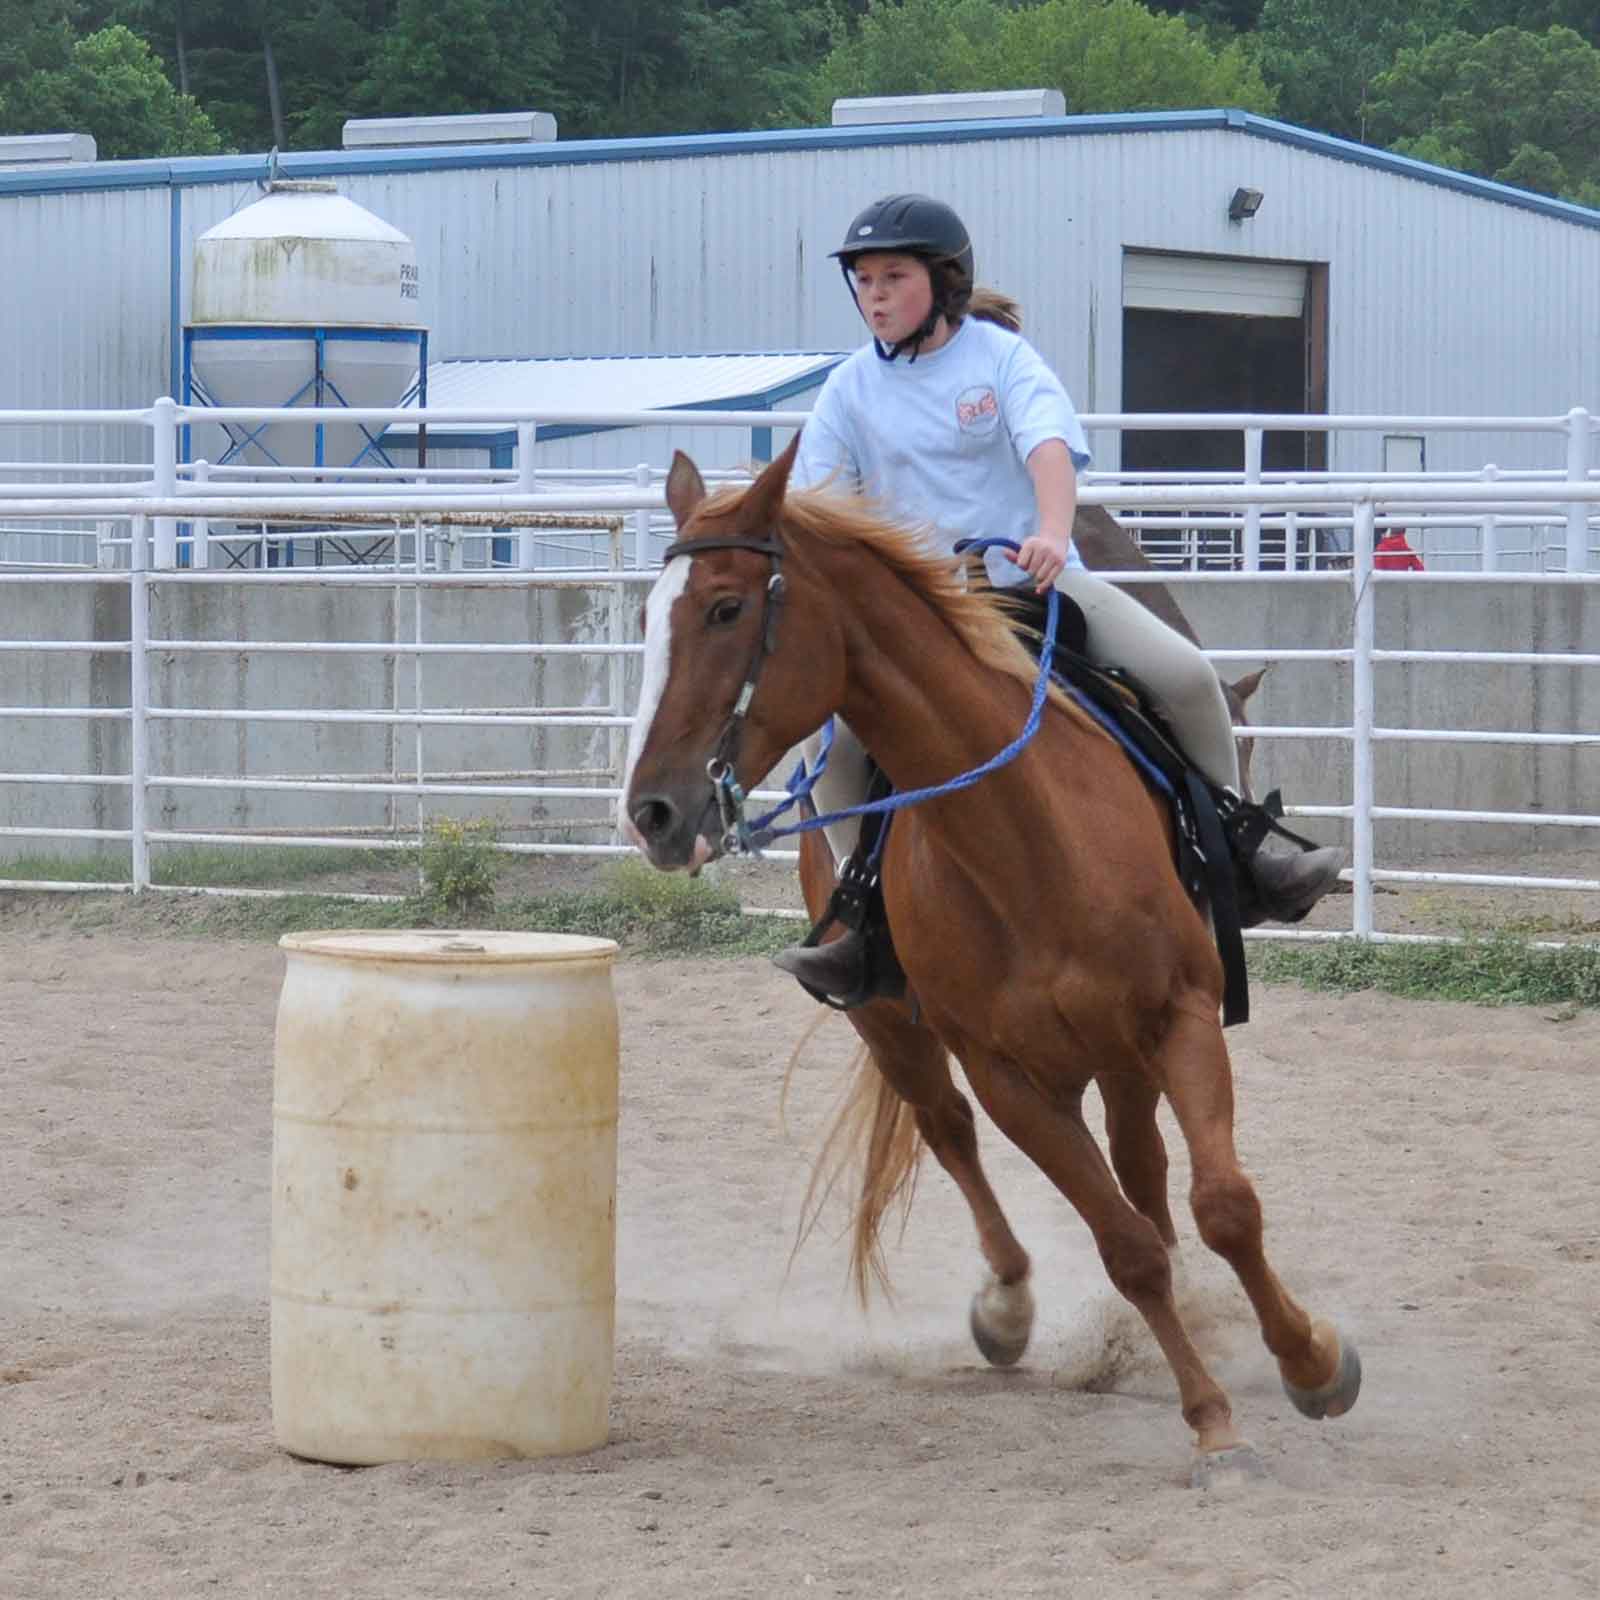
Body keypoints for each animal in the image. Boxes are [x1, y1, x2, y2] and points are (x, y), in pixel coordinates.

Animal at [619, 439, 1362, 1485]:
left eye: (726, 608)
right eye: (652, 618)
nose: (652, 811)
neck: (1026, 838)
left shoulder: (1178, 1016)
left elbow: (1222, 1206)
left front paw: (1312, 1362)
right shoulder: (1006, 1075)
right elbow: (1124, 1246)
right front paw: (1213, 1422)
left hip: (1118, 1051)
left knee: (1143, 1166)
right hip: (896, 1030)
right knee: (952, 1133)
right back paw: (1010, 1306)